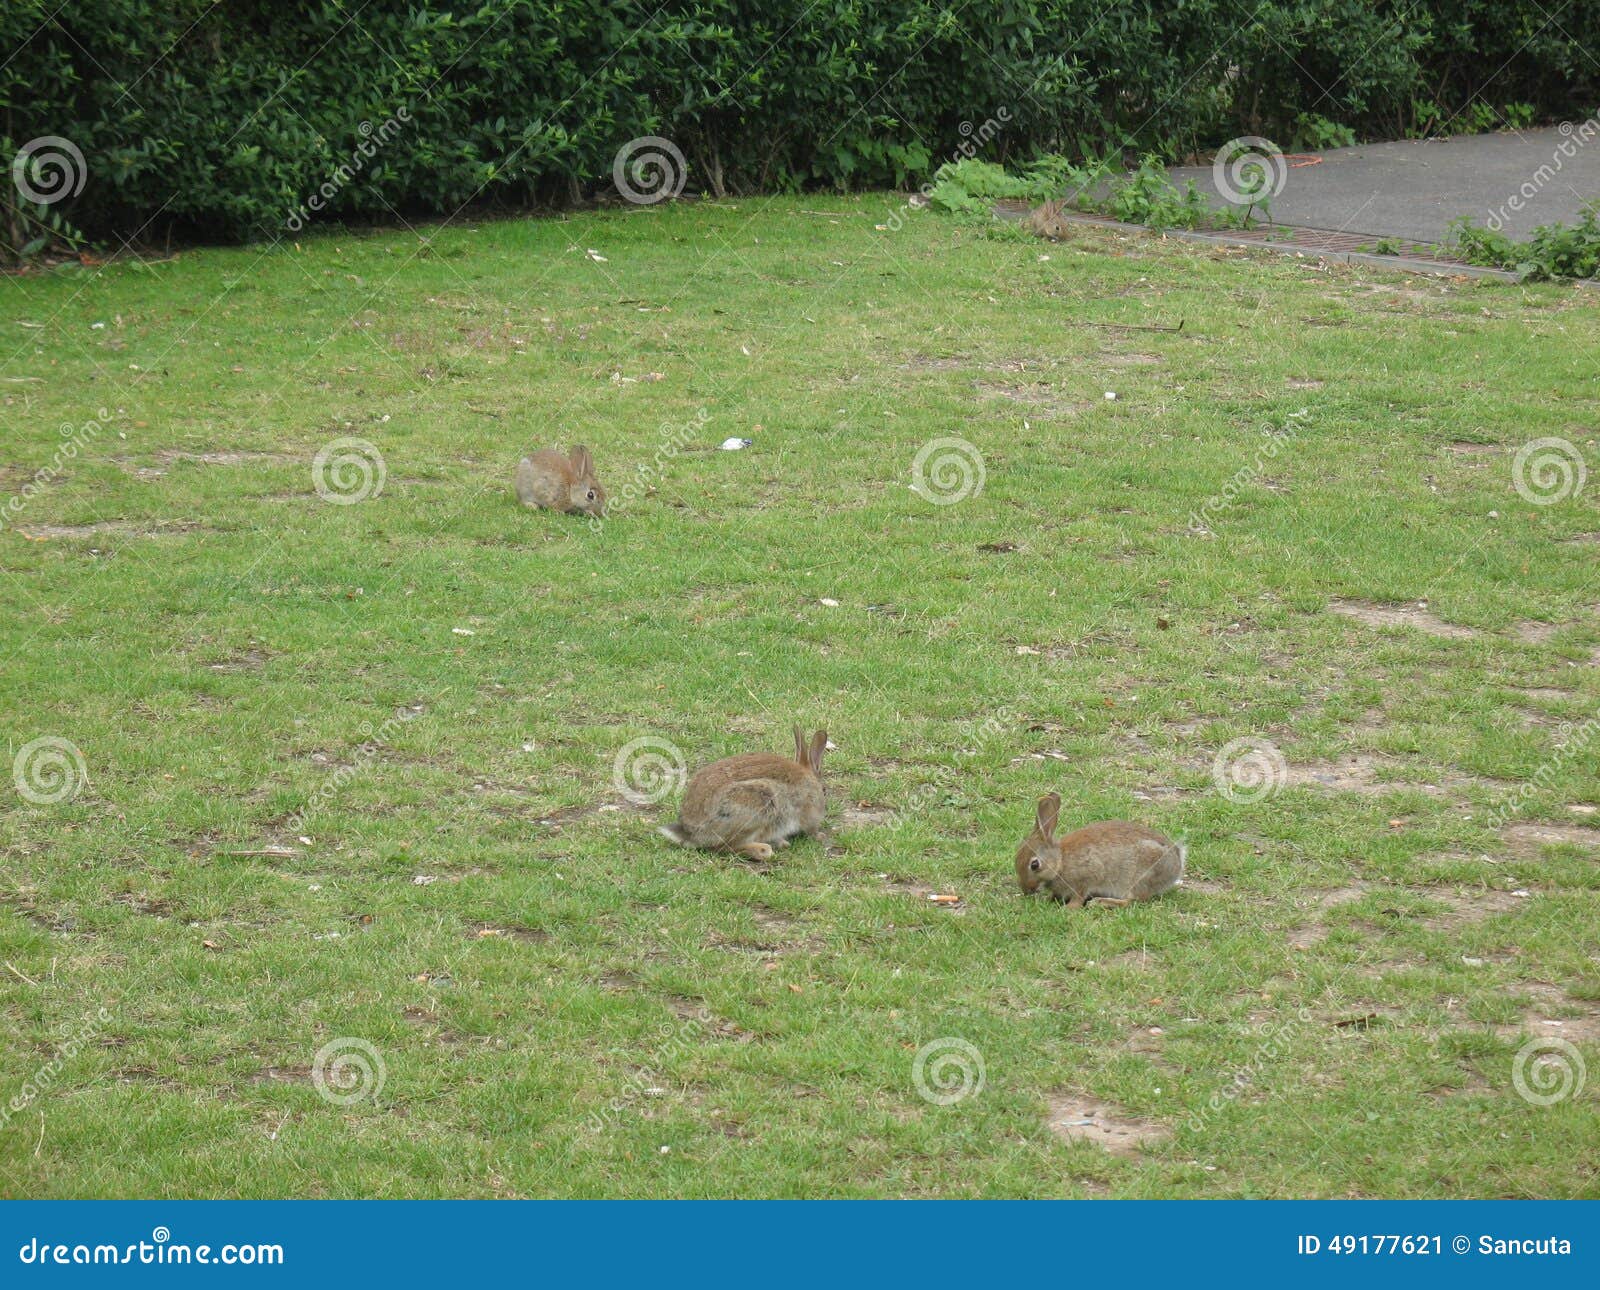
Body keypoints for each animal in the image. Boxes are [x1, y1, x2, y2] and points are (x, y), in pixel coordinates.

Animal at [659, 728, 828, 861]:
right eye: (824, 791)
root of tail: (691, 832)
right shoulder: (808, 813)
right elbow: (811, 828)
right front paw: (821, 836)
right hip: (759, 806)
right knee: (724, 847)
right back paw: (766, 849)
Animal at [1015, 792, 1184, 908]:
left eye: (1034, 865)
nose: (1026, 890)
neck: (1061, 861)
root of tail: (1177, 862)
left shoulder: (1086, 877)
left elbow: (1080, 895)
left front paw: (1069, 908)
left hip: (1140, 877)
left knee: (1132, 900)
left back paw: (1100, 902)